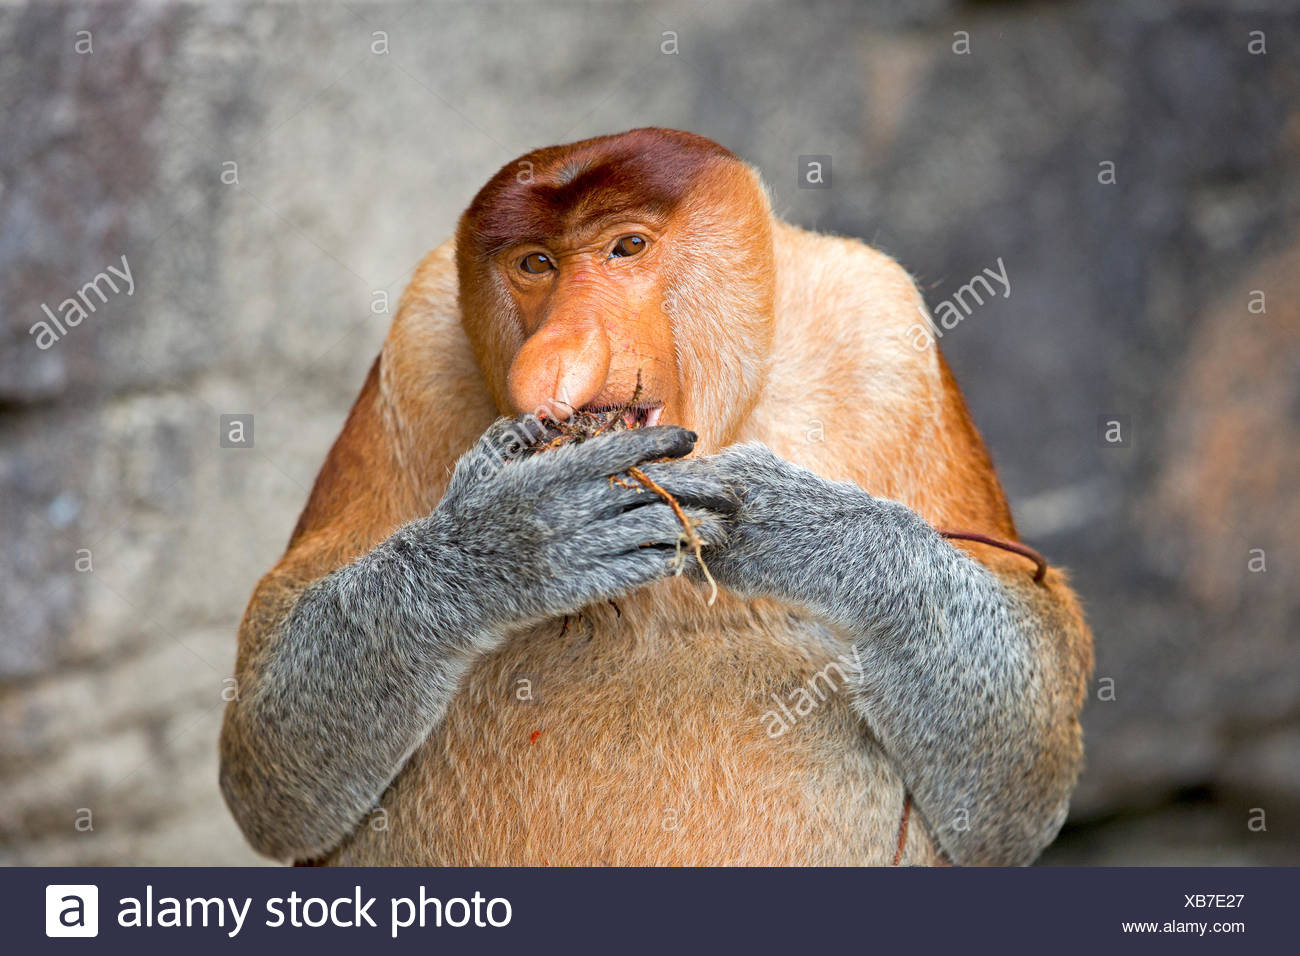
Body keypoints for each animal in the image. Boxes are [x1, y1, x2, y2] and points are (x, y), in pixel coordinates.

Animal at [219, 128, 1093, 866]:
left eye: (627, 246)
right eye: (536, 264)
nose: (556, 354)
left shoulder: (883, 328)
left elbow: (1020, 765)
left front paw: (787, 524)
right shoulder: (417, 337)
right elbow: (269, 743)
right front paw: (516, 537)